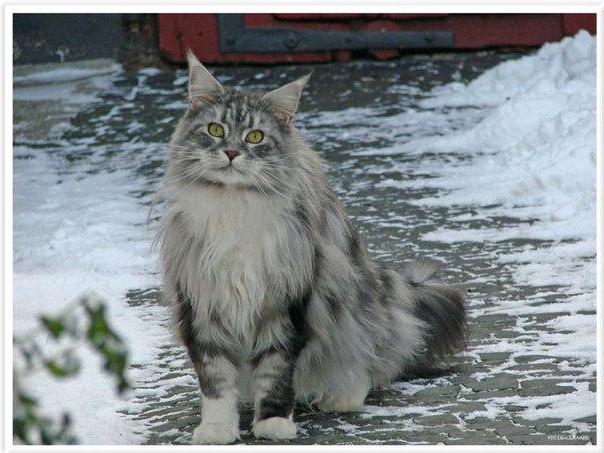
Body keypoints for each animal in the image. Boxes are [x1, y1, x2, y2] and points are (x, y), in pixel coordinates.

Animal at [157, 51, 468, 444]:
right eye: (215, 130)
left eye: (255, 136)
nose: (231, 152)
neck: (234, 205)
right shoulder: (202, 303)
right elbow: (215, 380)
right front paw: (216, 429)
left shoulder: (286, 303)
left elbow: (276, 372)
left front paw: (273, 423)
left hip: (355, 308)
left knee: (370, 361)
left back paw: (340, 396)